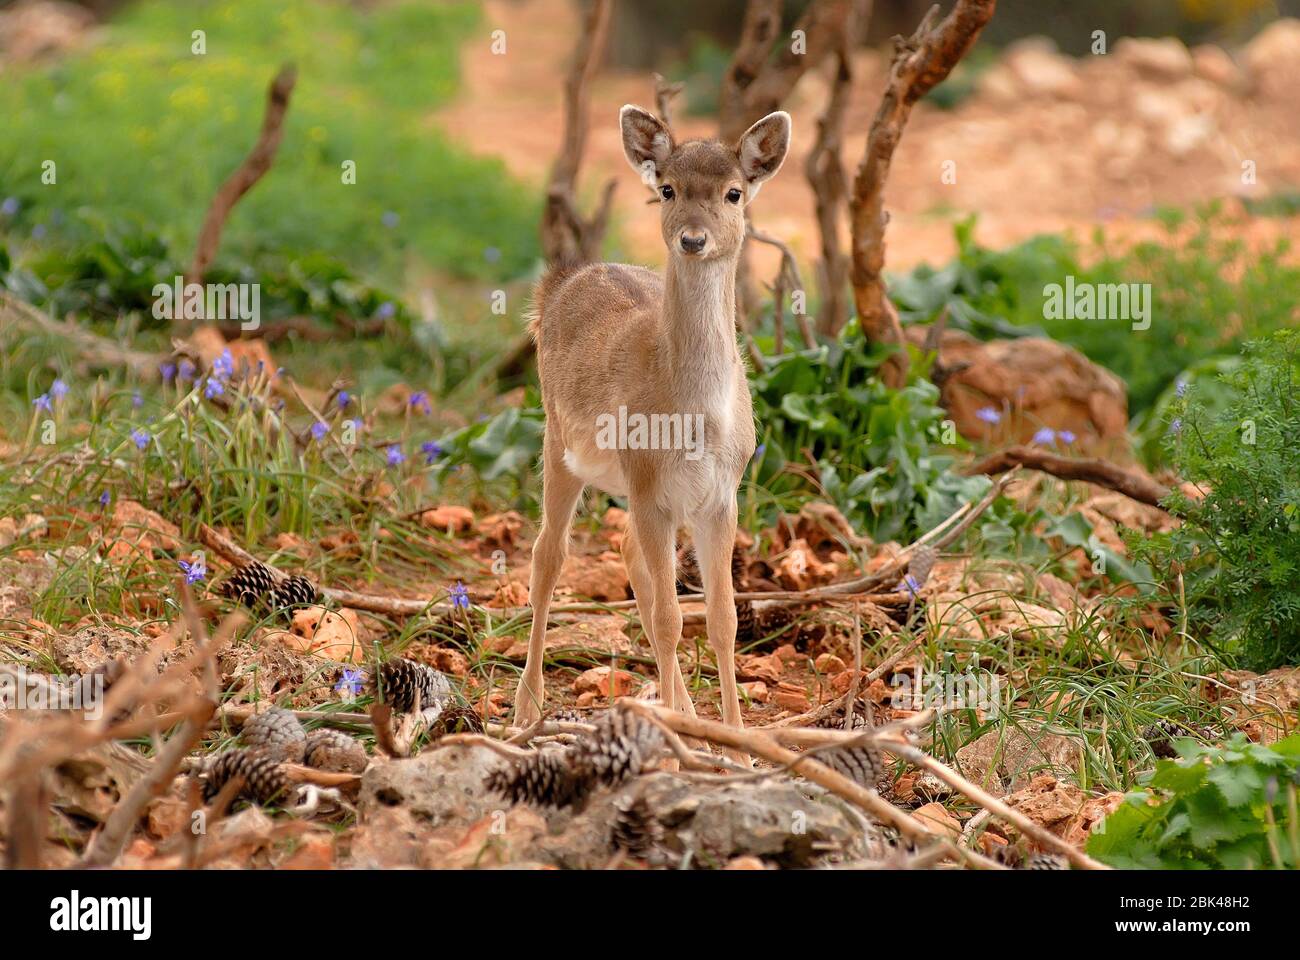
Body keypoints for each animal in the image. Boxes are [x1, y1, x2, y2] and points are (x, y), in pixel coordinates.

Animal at [509, 106, 790, 733]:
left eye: (734, 193)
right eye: (668, 189)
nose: (693, 238)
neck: (694, 420)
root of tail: (558, 283)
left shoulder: (721, 495)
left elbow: (723, 619)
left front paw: (733, 737)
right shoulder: (647, 483)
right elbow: (669, 619)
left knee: (628, 556)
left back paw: (680, 708)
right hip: (558, 440)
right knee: (547, 557)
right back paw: (527, 706)